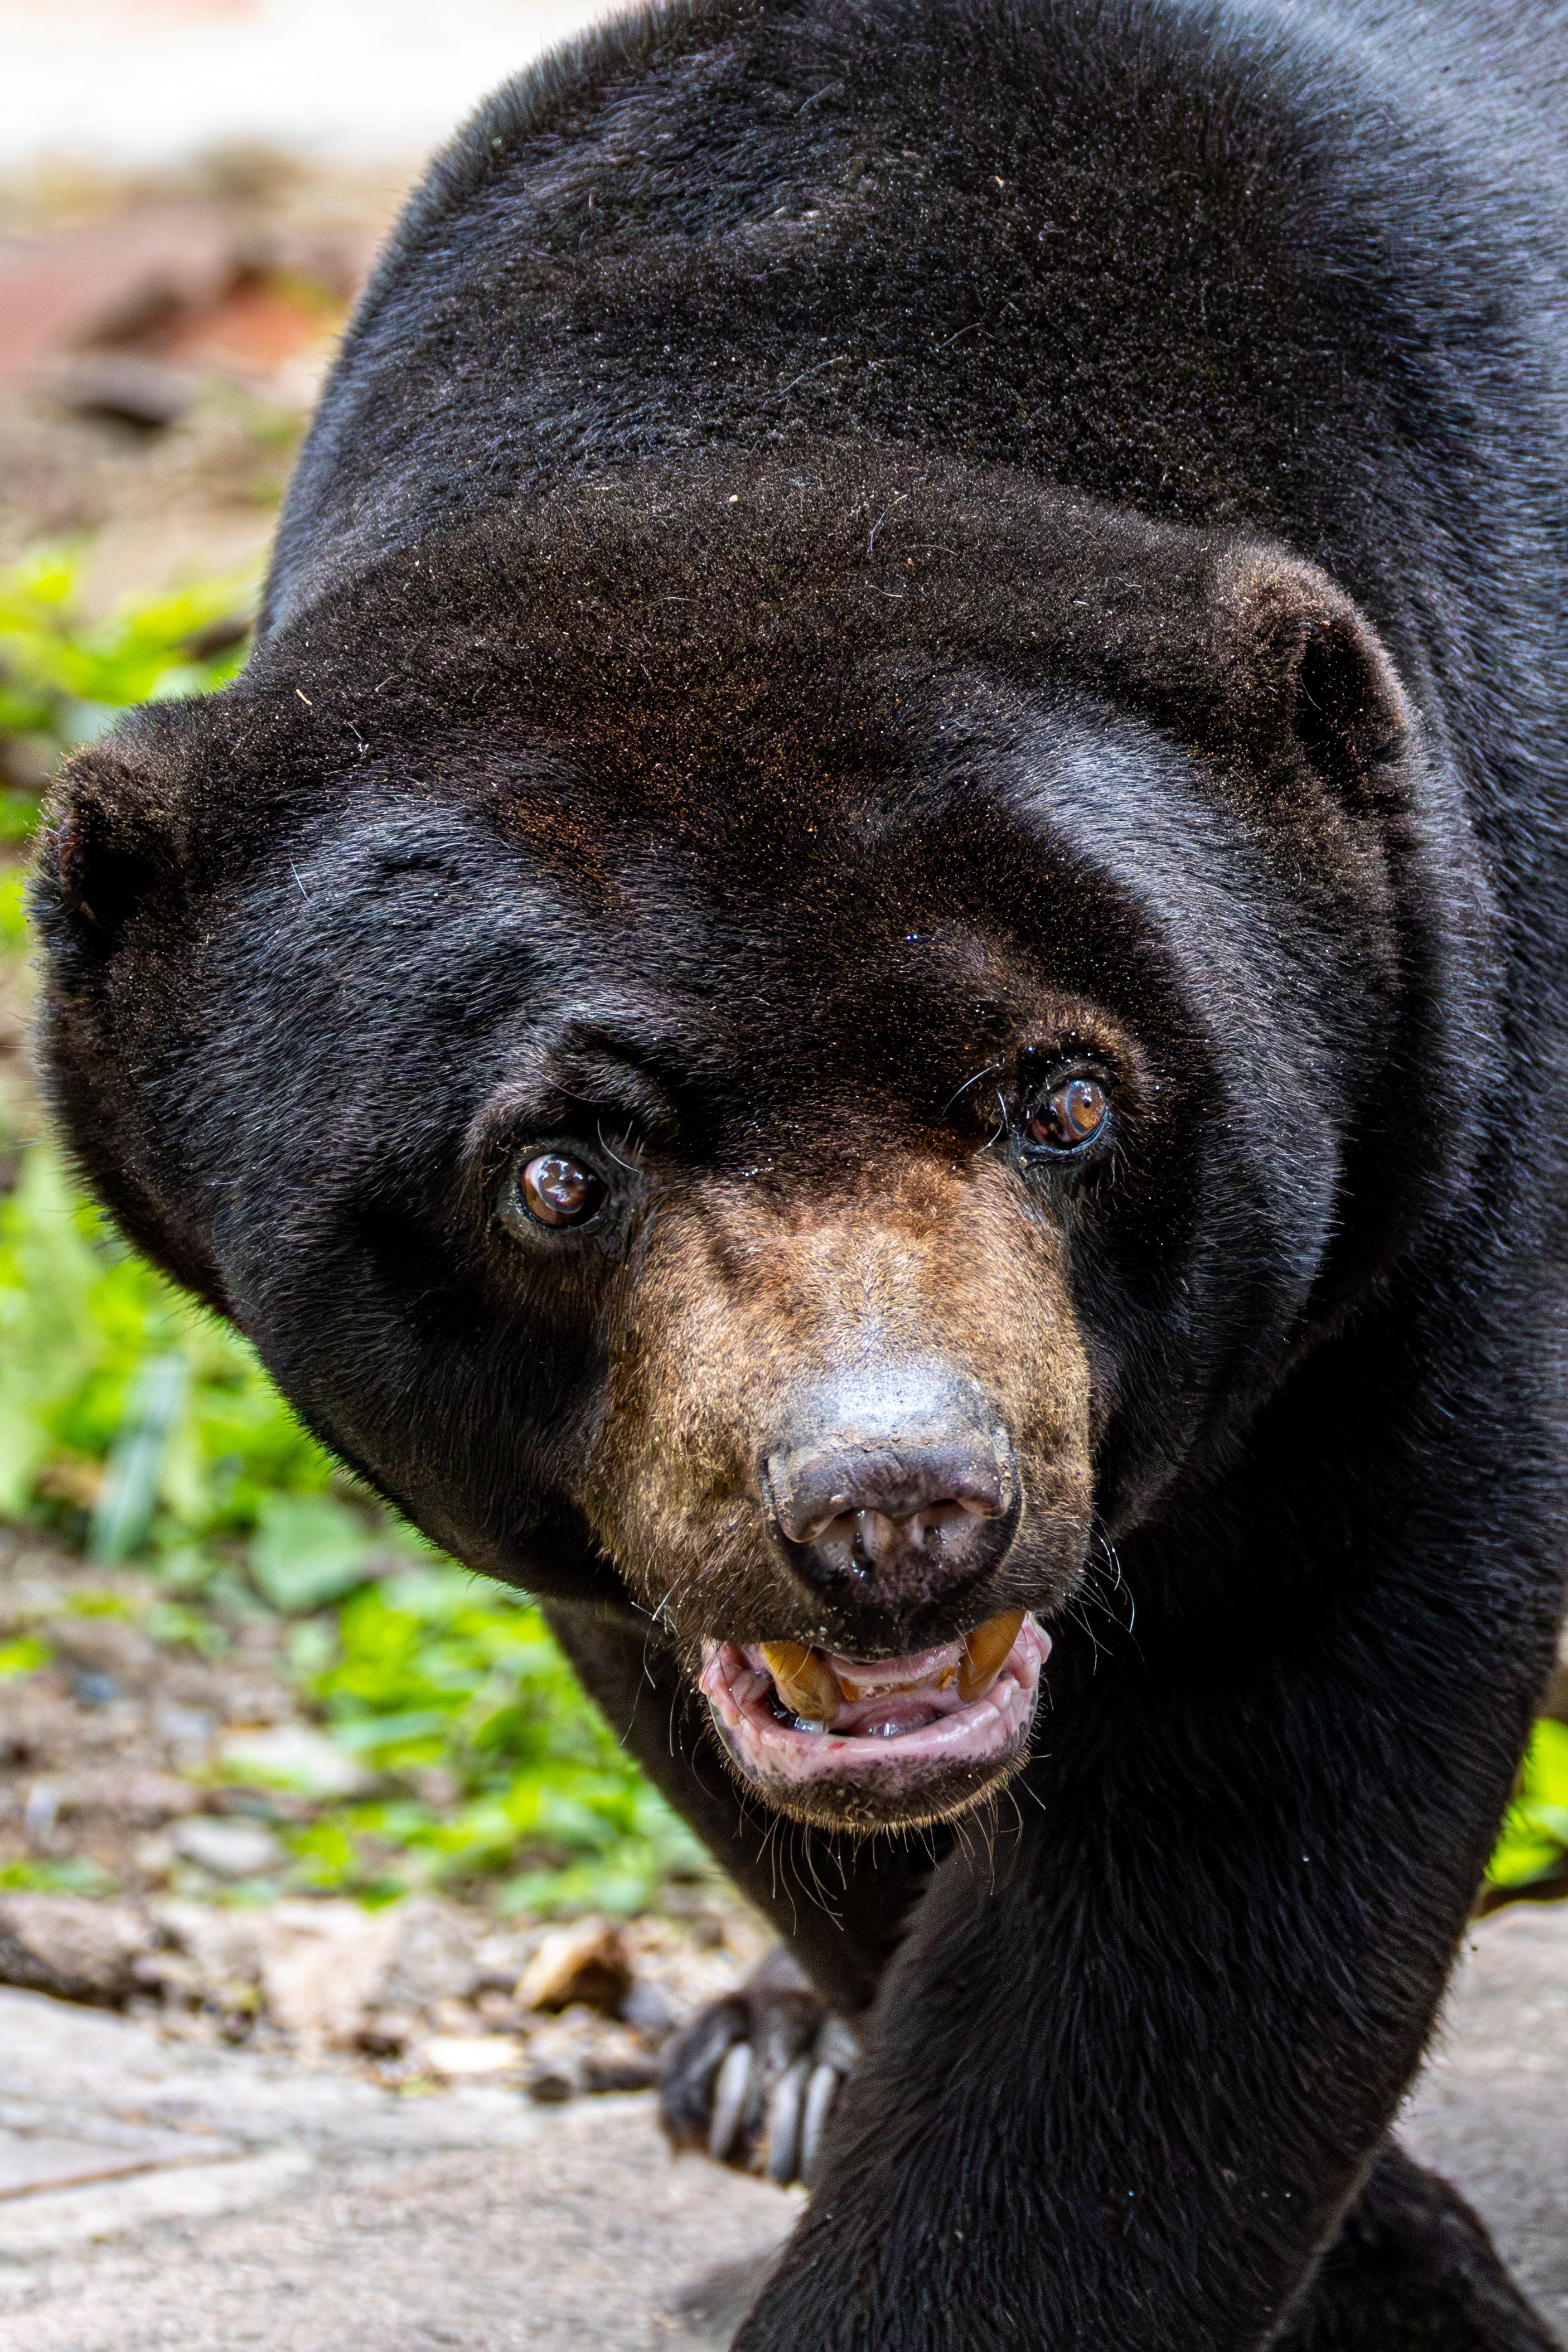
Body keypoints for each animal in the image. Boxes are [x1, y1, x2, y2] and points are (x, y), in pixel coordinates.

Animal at [31, 0, 1568, 2344]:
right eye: (555, 1170)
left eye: (1065, 1098)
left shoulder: (1421, 1160)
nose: (896, 1508)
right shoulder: (611, 1511)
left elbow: (1236, 1834)